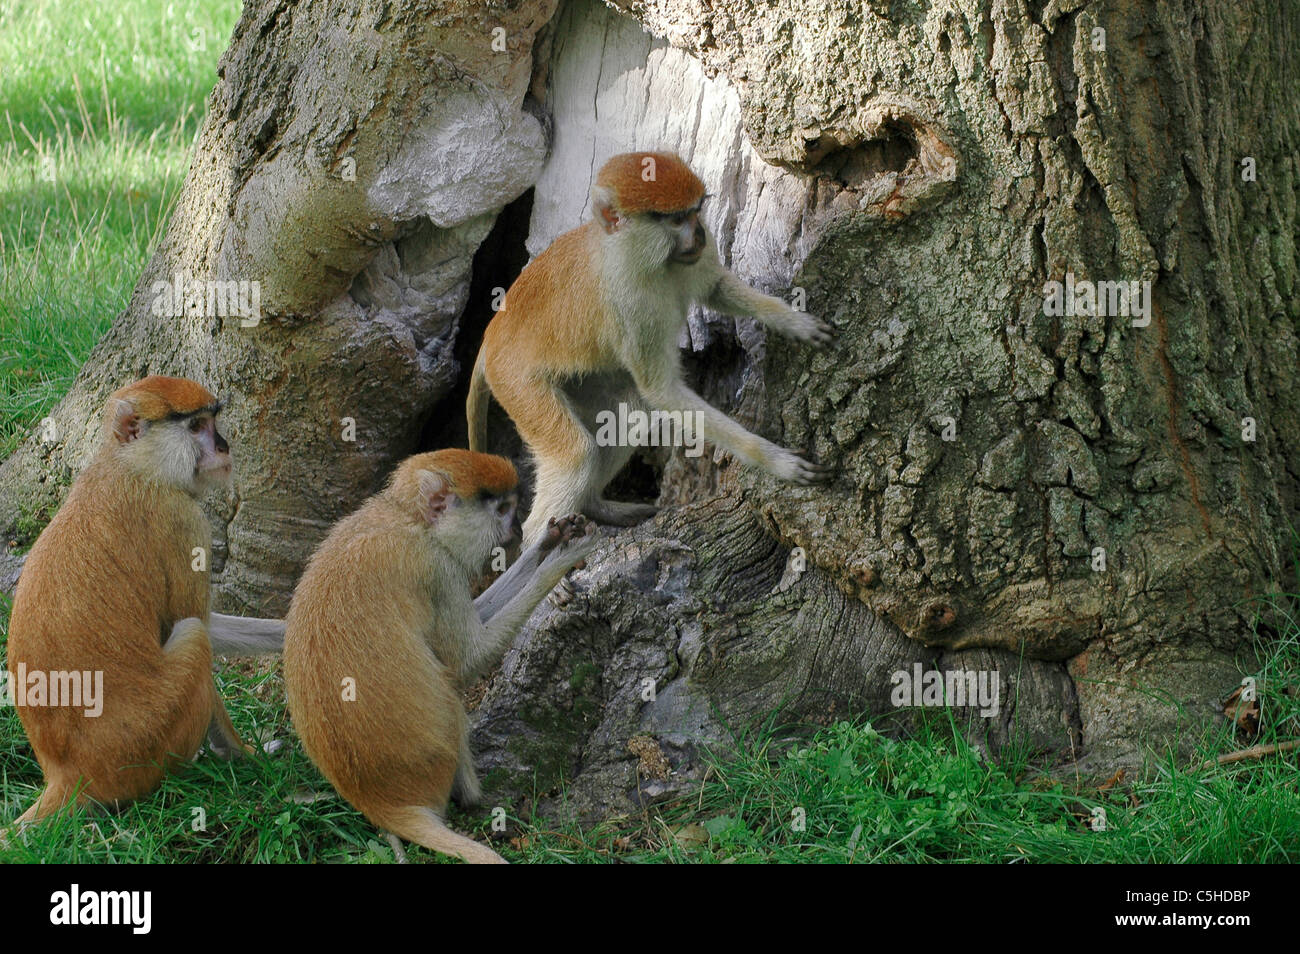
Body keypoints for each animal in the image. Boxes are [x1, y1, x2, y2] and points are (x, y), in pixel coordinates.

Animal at [5, 376, 283, 825]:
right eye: (196, 426)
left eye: (213, 422)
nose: (223, 447)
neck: (131, 466)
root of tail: (70, 776)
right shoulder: (185, 522)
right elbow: (195, 622)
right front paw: (247, 756)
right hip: (151, 742)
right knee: (193, 634)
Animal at [283, 448, 596, 864]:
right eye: (503, 509)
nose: (515, 530)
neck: (410, 519)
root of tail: (380, 802)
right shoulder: (437, 569)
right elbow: (468, 659)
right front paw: (559, 560)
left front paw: (548, 541)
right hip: (437, 763)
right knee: (449, 693)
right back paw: (474, 796)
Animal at [467, 150, 834, 544]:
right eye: (675, 220)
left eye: (695, 211)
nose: (700, 233)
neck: (636, 256)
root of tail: (491, 336)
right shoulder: (633, 307)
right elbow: (662, 391)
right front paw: (778, 462)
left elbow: (715, 287)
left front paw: (795, 322)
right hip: (516, 383)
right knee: (577, 453)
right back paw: (541, 540)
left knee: (627, 412)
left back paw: (594, 505)